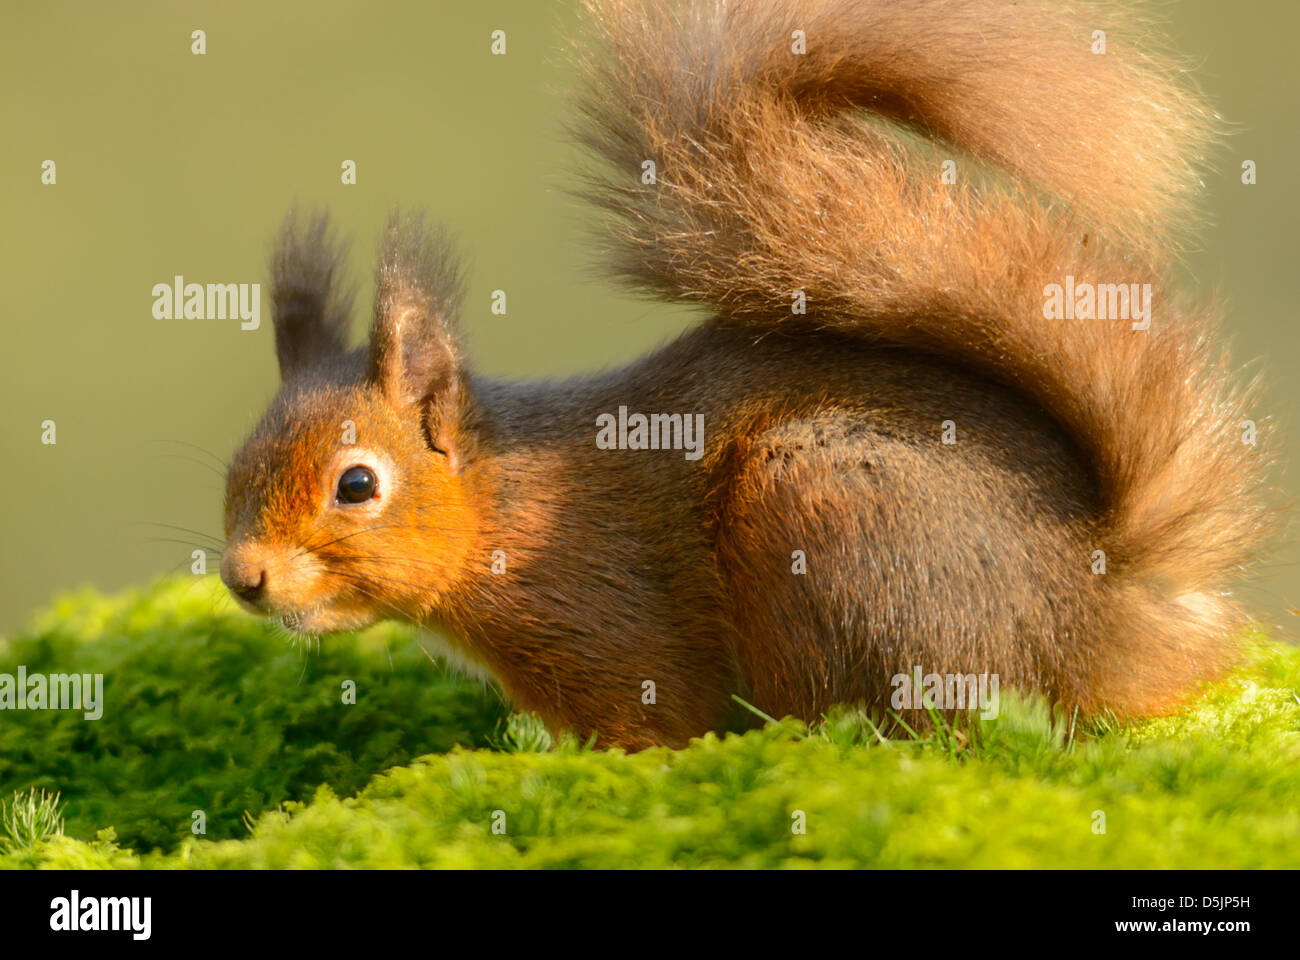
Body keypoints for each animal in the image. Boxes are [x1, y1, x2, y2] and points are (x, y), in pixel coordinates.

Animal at [220, 0, 1275, 749]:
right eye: (232, 469)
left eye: (358, 484)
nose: (242, 578)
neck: (507, 508)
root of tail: (1108, 609)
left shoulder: (617, 627)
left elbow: (657, 729)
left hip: (827, 512)